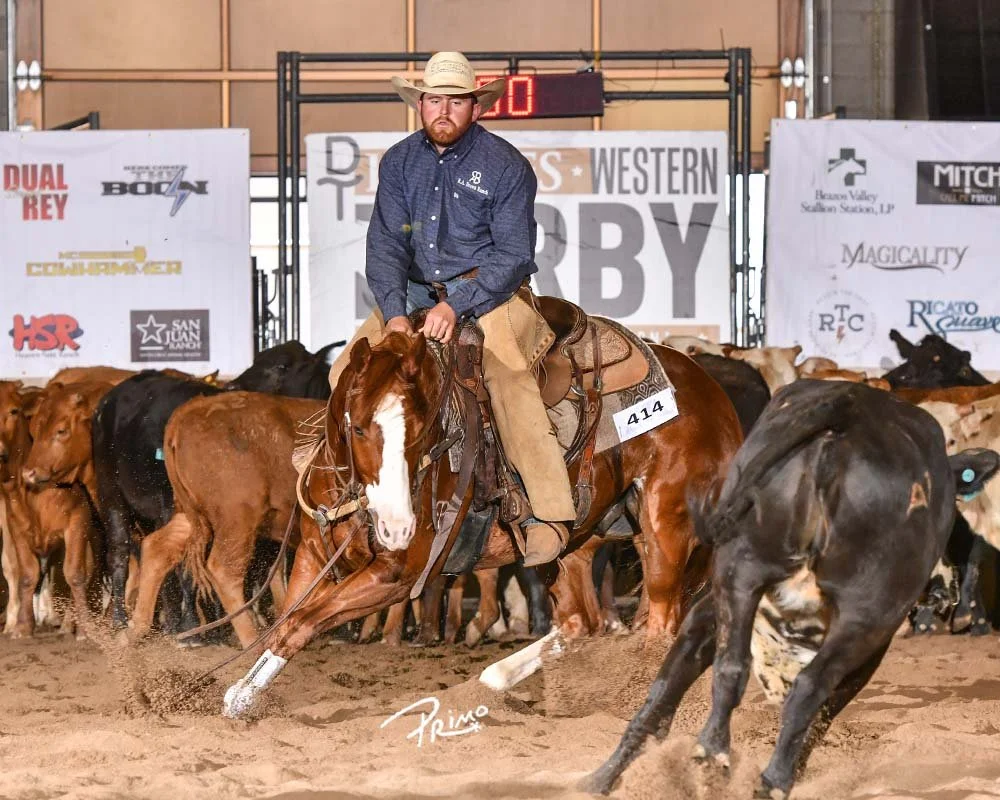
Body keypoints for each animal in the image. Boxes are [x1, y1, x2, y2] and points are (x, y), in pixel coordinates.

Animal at [221, 306, 743, 719]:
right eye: (361, 427)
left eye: (422, 429)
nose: (398, 528)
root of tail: (715, 396)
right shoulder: (312, 553)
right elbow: (284, 623)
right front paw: (243, 693)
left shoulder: (395, 575)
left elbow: (302, 624)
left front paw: (241, 698)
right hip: (571, 544)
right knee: (582, 623)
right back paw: (490, 682)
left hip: (664, 525)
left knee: (659, 624)